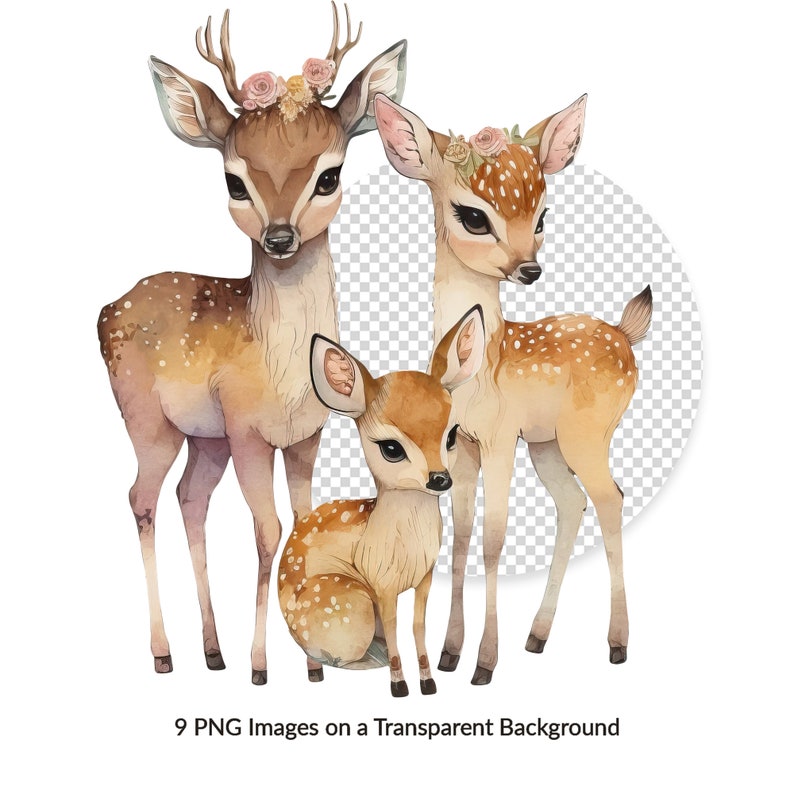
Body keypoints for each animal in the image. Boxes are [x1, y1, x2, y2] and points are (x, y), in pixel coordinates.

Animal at [97, 4, 406, 685]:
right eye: (234, 181)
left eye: (330, 173)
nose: (281, 237)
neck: (280, 367)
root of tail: (106, 309)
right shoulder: (246, 430)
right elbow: (267, 532)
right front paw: (262, 665)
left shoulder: (305, 436)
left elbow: (299, 523)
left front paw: (312, 668)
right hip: (148, 420)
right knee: (140, 498)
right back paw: (166, 654)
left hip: (203, 439)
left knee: (189, 500)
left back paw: (211, 651)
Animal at [277, 306, 486, 696]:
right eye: (391, 447)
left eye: (451, 435)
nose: (440, 479)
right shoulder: (380, 583)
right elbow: (392, 626)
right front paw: (400, 684)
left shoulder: (425, 577)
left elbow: (418, 625)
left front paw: (428, 681)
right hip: (349, 598)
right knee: (339, 654)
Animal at [374, 93, 653, 684]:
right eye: (473, 215)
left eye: (544, 215)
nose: (529, 268)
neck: (482, 373)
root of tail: (625, 333)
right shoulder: (462, 447)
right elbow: (460, 537)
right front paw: (451, 654)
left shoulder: (500, 439)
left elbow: (494, 540)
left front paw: (483, 664)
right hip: (548, 444)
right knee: (574, 503)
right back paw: (537, 637)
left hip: (587, 432)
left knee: (610, 498)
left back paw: (616, 644)